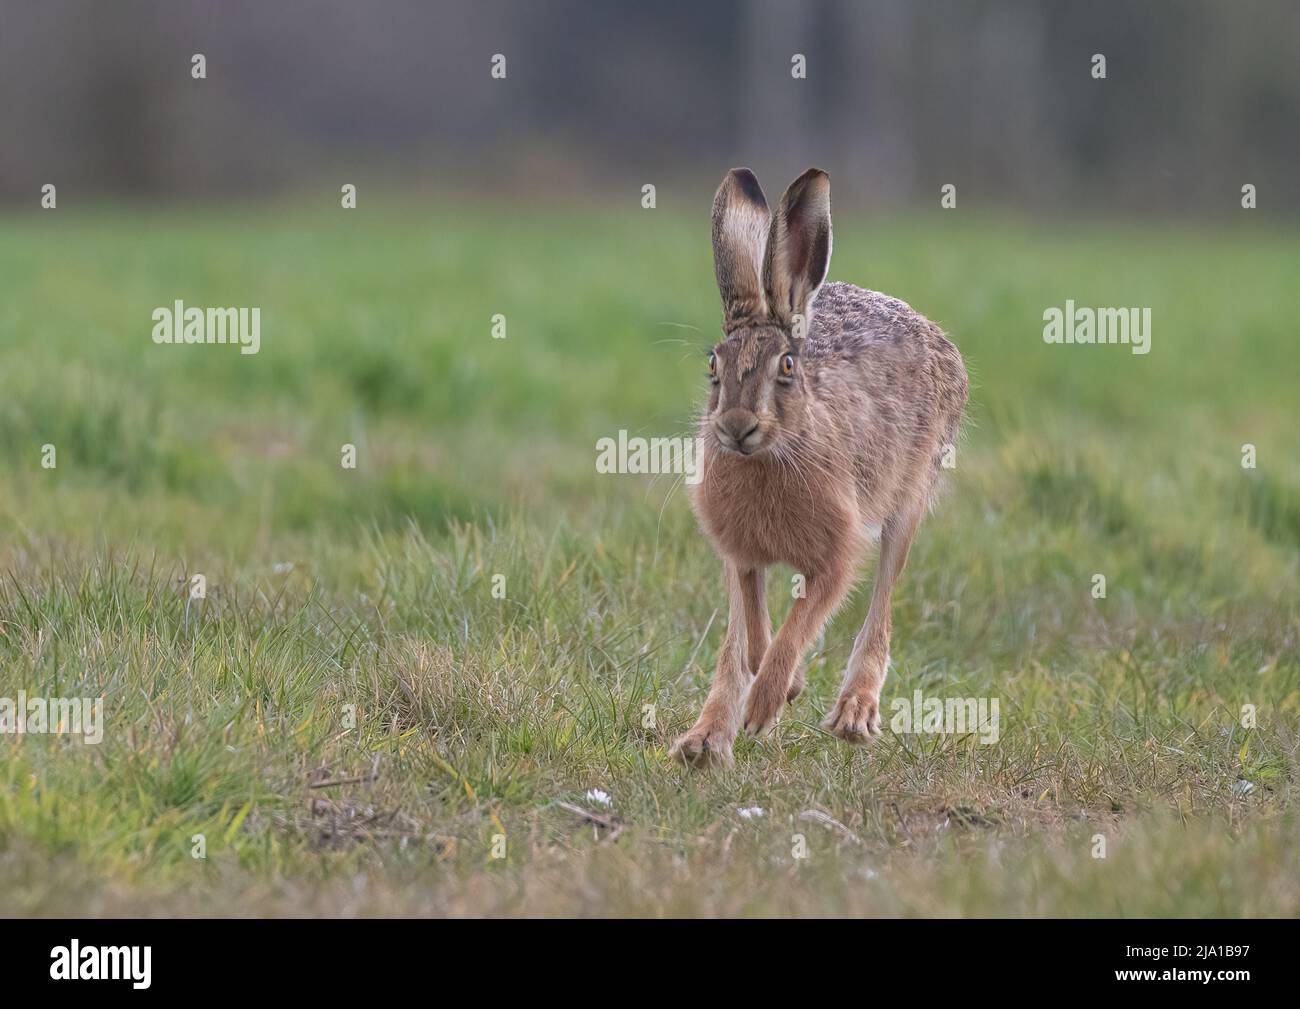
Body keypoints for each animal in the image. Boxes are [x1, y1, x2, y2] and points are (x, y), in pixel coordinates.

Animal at [670, 167, 968, 768]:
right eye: (714, 365)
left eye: (787, 367)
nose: (736, 426)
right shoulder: (741, 556)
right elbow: (753, 632)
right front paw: (784, 688)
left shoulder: (838, 555)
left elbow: (799, 623)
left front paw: (770, 701)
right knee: (735, 639)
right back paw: (703, 742)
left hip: (910, 497)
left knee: (883, 596)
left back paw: (854, 713)